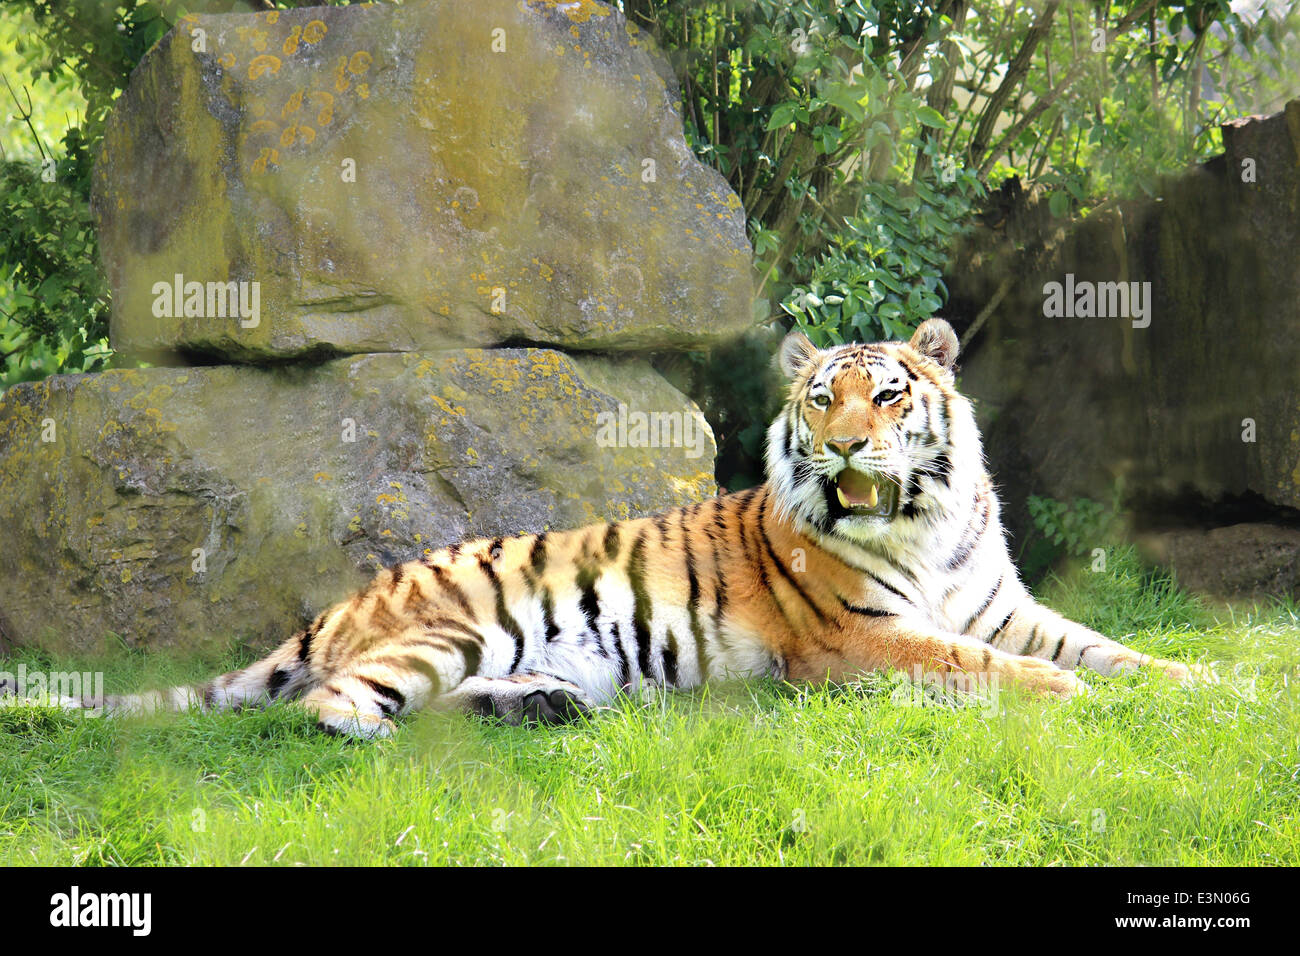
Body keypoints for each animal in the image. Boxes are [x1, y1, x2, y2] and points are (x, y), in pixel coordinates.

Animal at [1, 319, 1210, 737]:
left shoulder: (1001, 604)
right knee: (331, 701)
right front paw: (1063, 697)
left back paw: (544, 710)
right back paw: (376, 737)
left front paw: (1210, 681)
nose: (846, 448)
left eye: (888, 396)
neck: (927, 524)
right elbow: (976, 664)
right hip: (451, 630)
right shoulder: (858, 638)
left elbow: (1113, 647)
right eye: (823, 399)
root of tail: (352, 596)